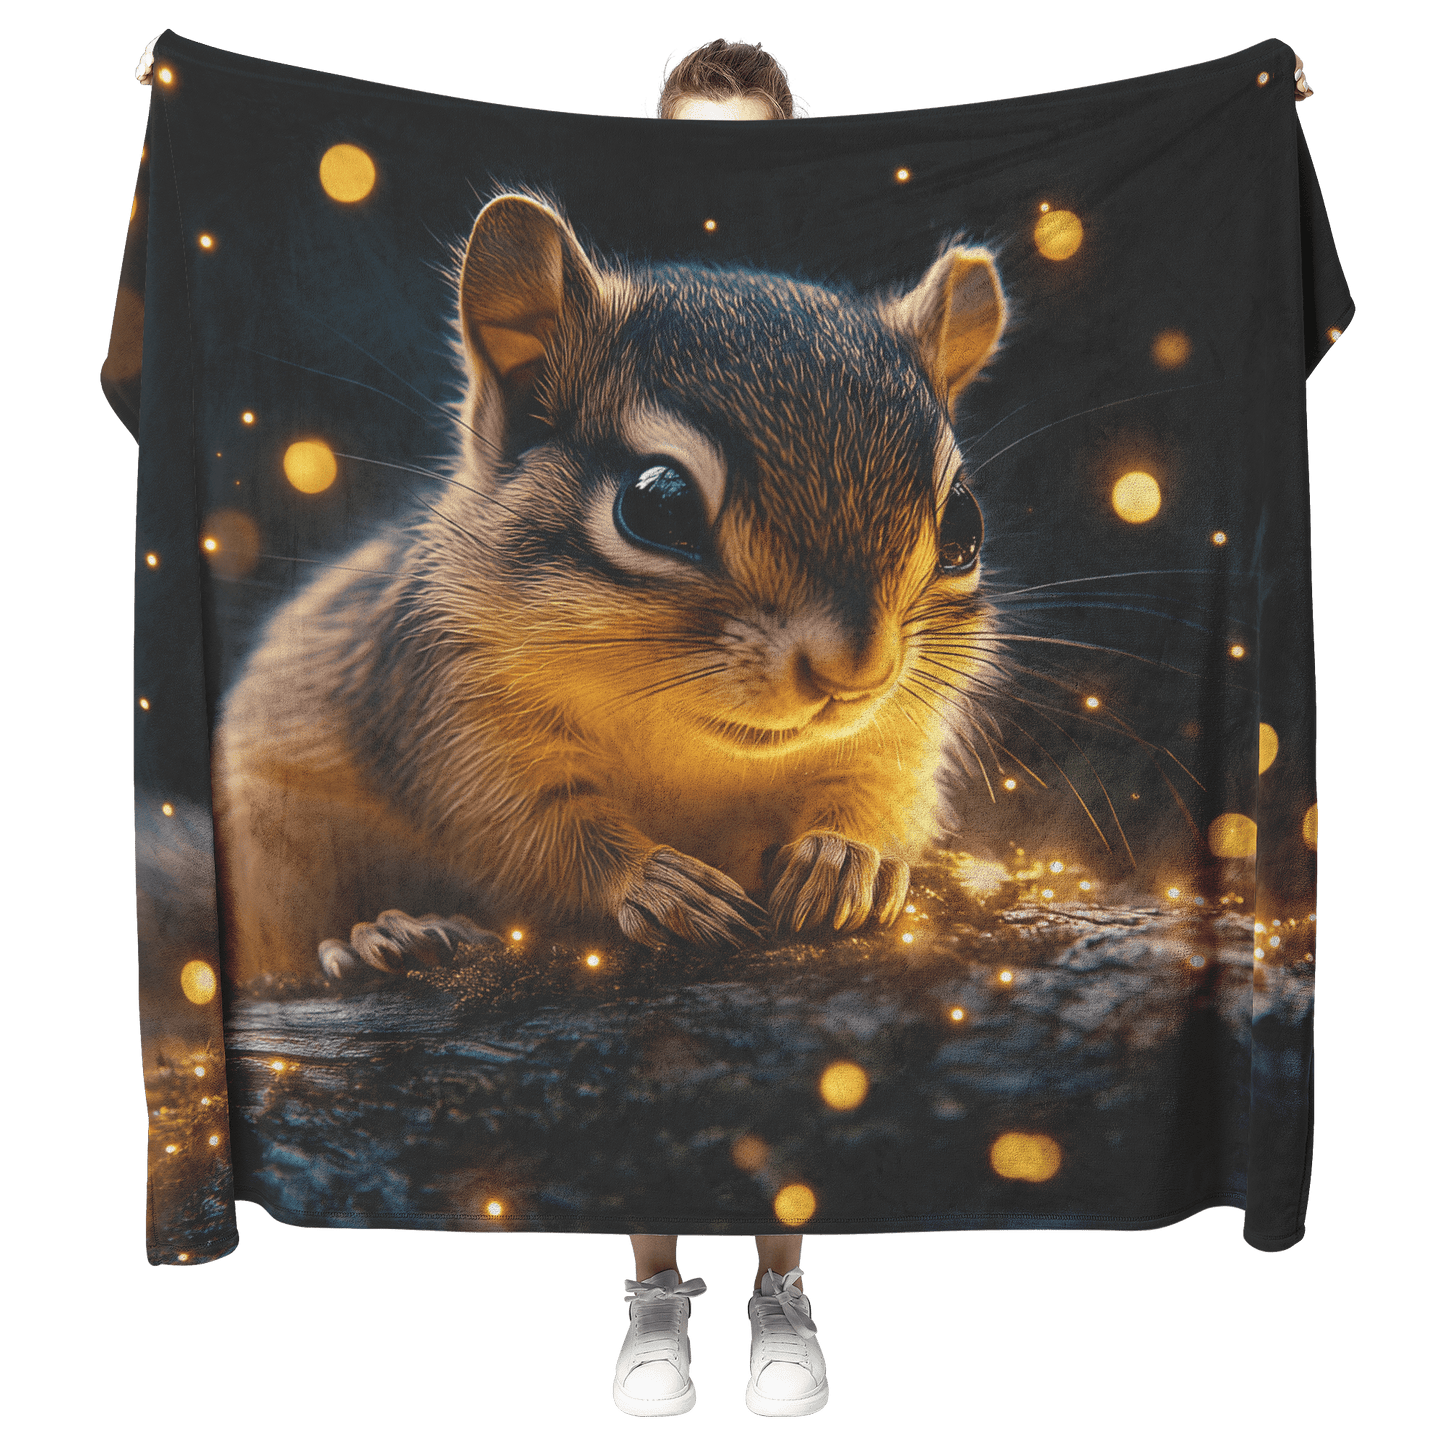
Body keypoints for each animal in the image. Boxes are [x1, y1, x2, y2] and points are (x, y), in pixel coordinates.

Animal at [213, 193, 1008, 981]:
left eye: (965, 520)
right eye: (659, 504)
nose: (857, 672)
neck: (695, 746)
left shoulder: (900, 732)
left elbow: (881, 795)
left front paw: (848, 857)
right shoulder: (446, 715)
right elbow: (528, 830)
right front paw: (652, 881)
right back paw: (383, 936)